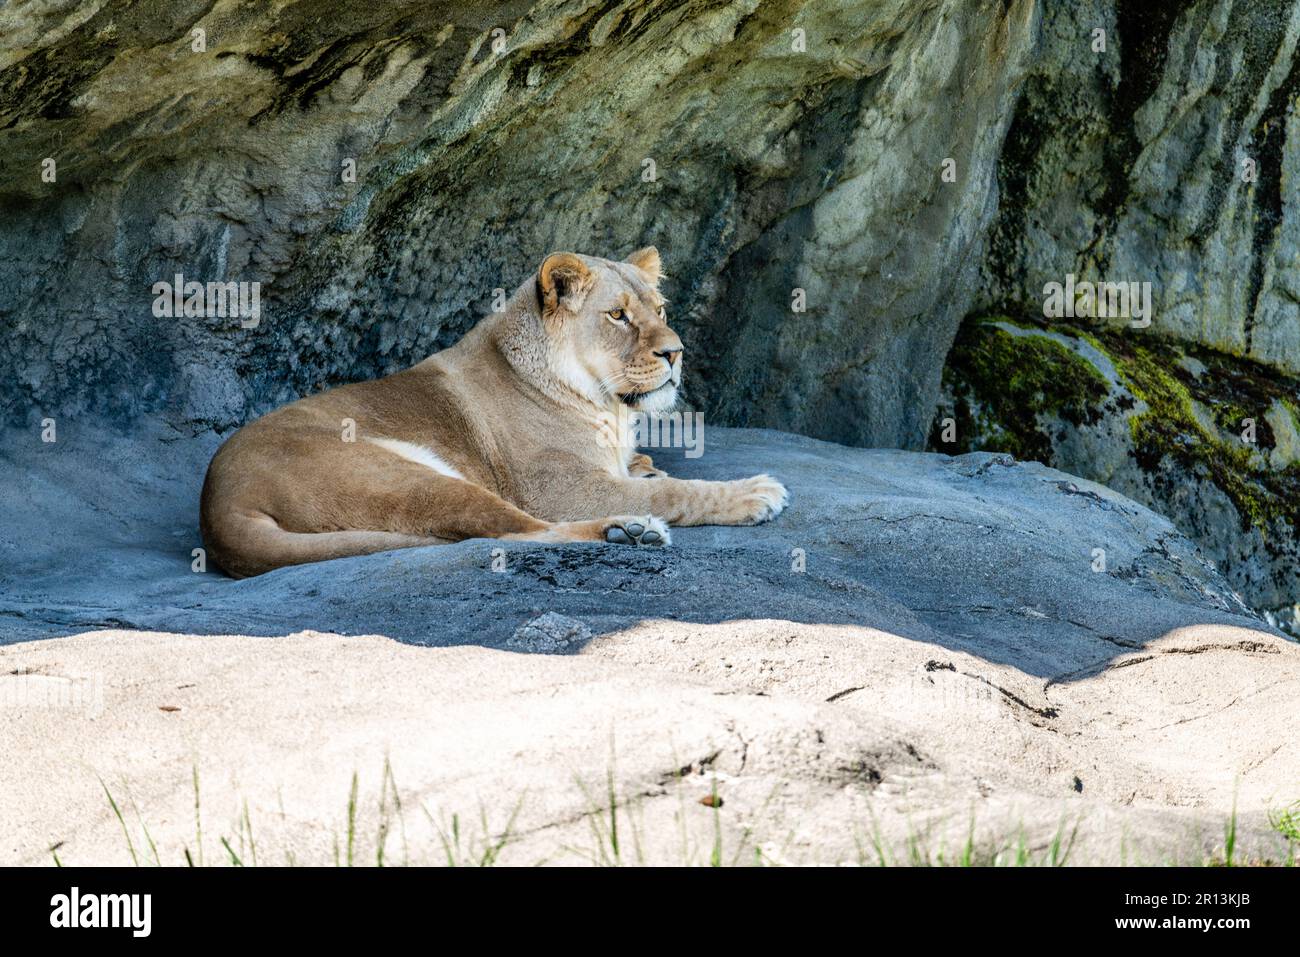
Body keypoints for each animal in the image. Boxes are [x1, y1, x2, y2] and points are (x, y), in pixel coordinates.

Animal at [199, 247, 788, 577]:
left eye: (660, 310)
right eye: (618, 316)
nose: (676, 353)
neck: (609, 408)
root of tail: (218, 507)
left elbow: (645, 474)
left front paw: (644, 465)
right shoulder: (558, 488)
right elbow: (674, 492)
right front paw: (753, 493)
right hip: (410, 476)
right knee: (509, 532)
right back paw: (627, 532)